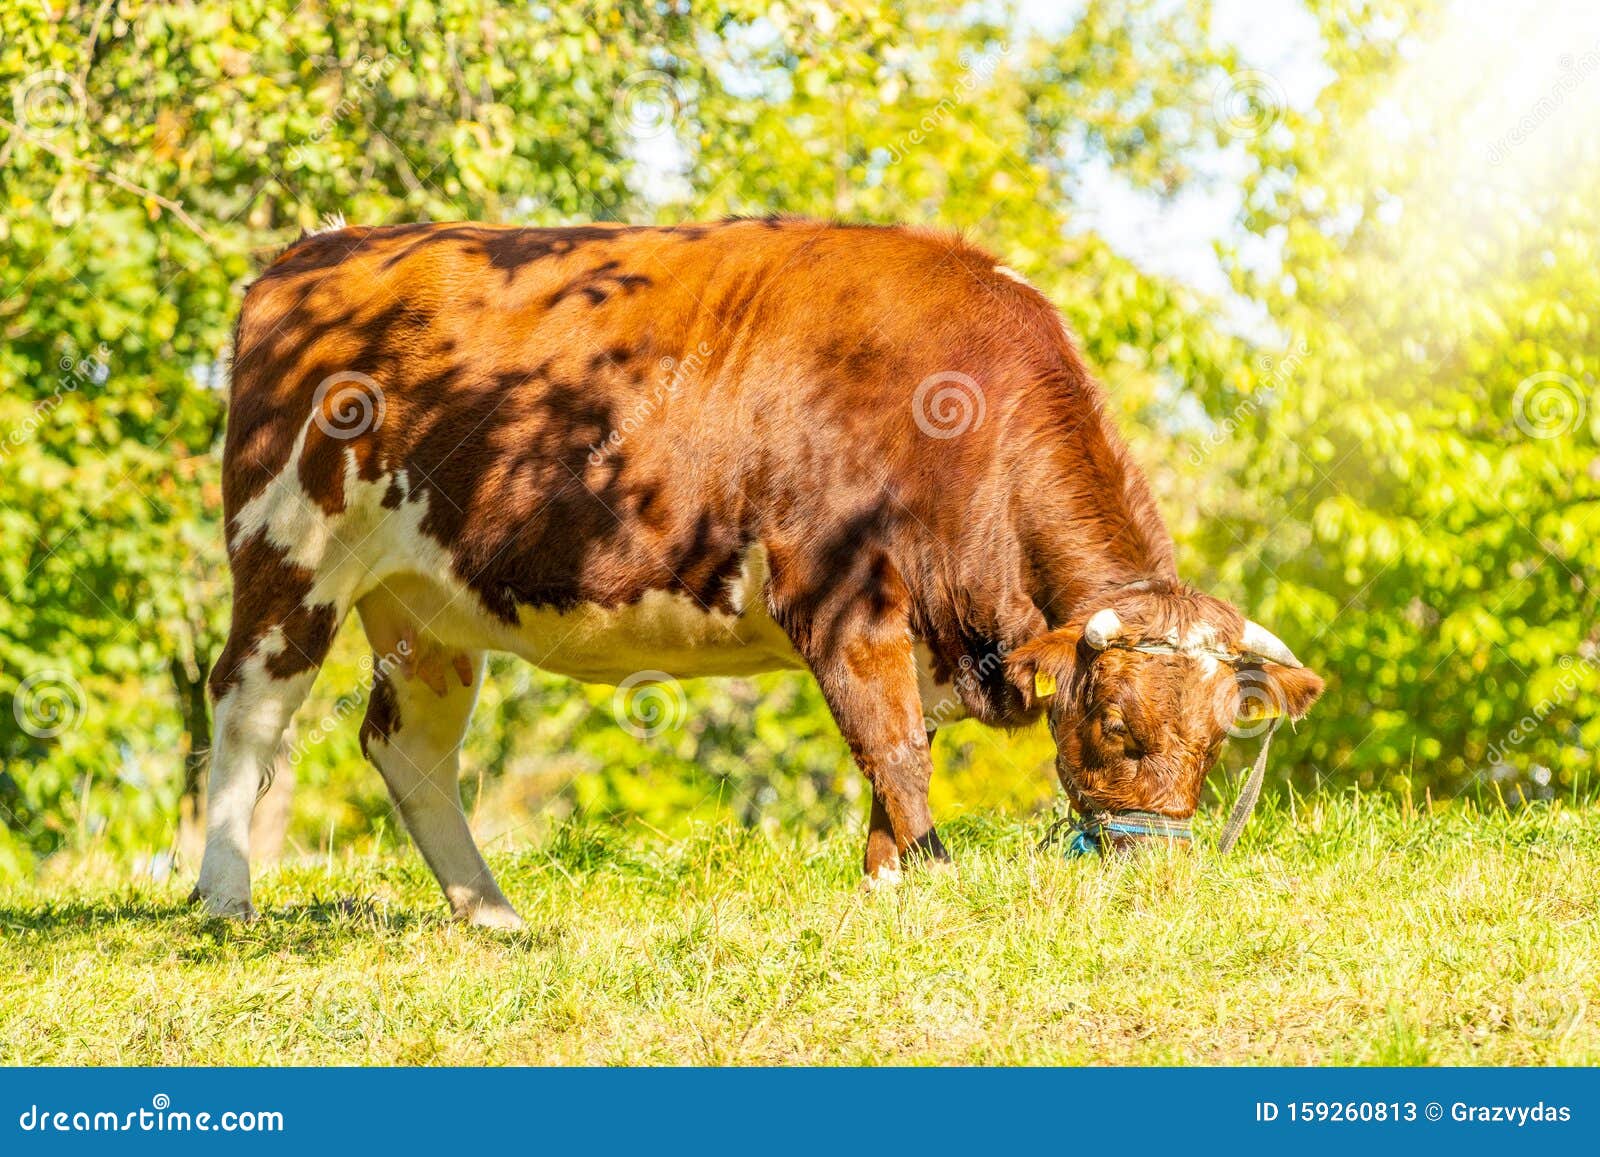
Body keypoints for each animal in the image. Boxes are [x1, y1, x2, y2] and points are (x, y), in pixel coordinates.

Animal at [194, 216, 1323, 925]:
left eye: (1218, 739)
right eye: (1118, 725)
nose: (1156, 875)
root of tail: (314, 255)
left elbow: (892, 763)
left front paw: (884, 892)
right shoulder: (838, 591)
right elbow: (893, 751)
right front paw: (935, 882)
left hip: (426, 602)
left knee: (409, 746)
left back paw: (494, 916)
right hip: (289, 545)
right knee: (247, 709)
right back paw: (223, 899)